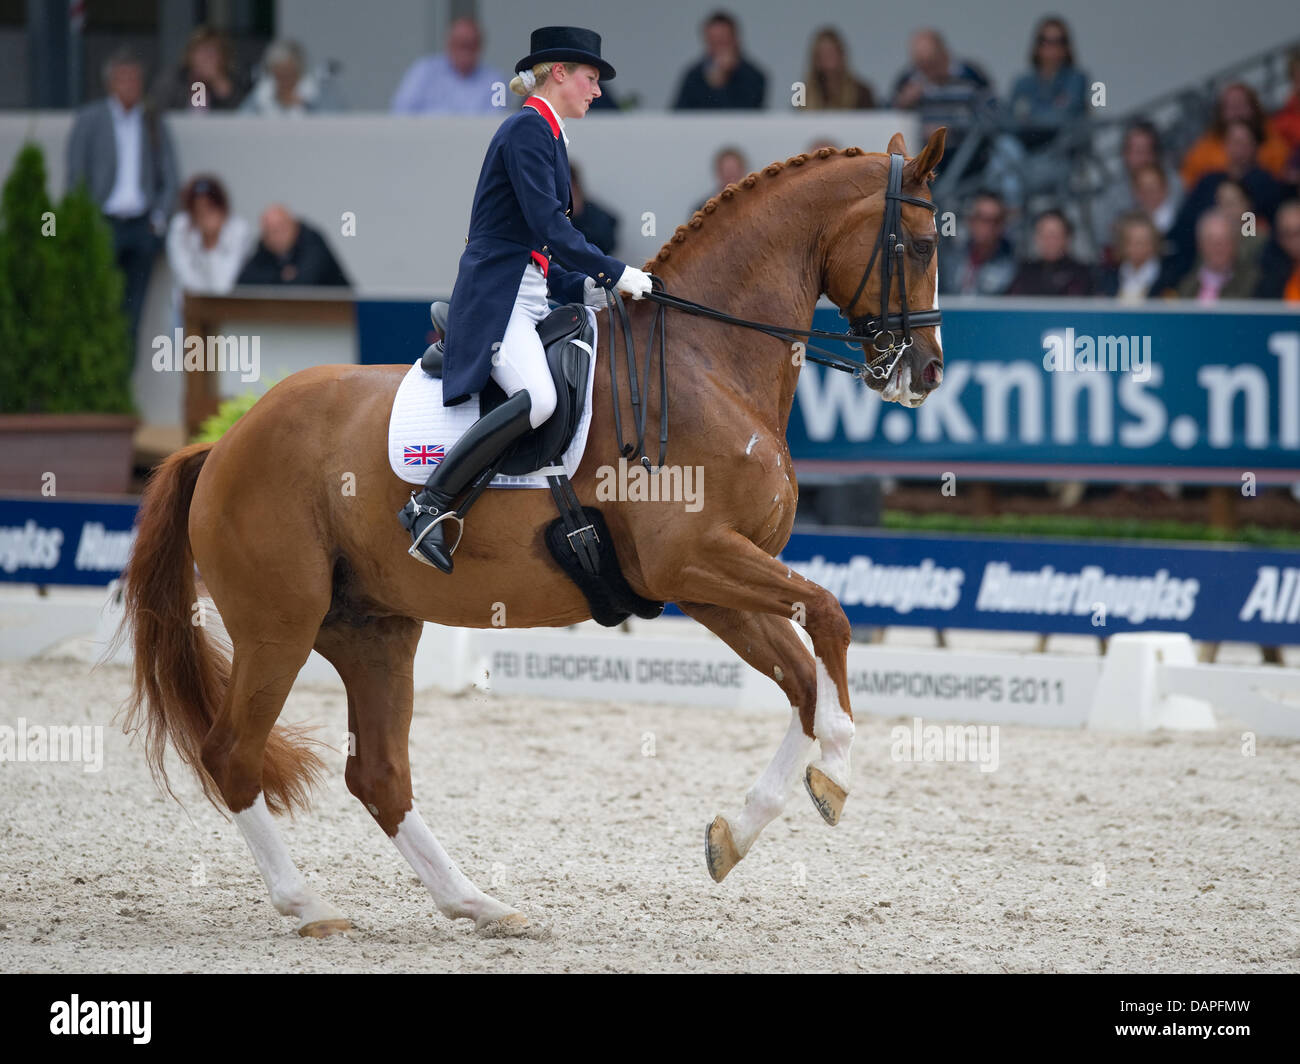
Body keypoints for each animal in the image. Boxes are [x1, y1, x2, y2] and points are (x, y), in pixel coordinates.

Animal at [119, 129, 947, 937]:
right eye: (916, 245)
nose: (928, 373)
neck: (706, 362)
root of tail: (222, 442)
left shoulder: (711, 584)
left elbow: (804, 679)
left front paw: (739, 831)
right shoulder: (695, 560)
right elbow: (833, 620)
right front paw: (838, 769)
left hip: (371, 627)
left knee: (379, 773)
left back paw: (478, 905)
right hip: (279, 625)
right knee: (233, 753)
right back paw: (310, 905)